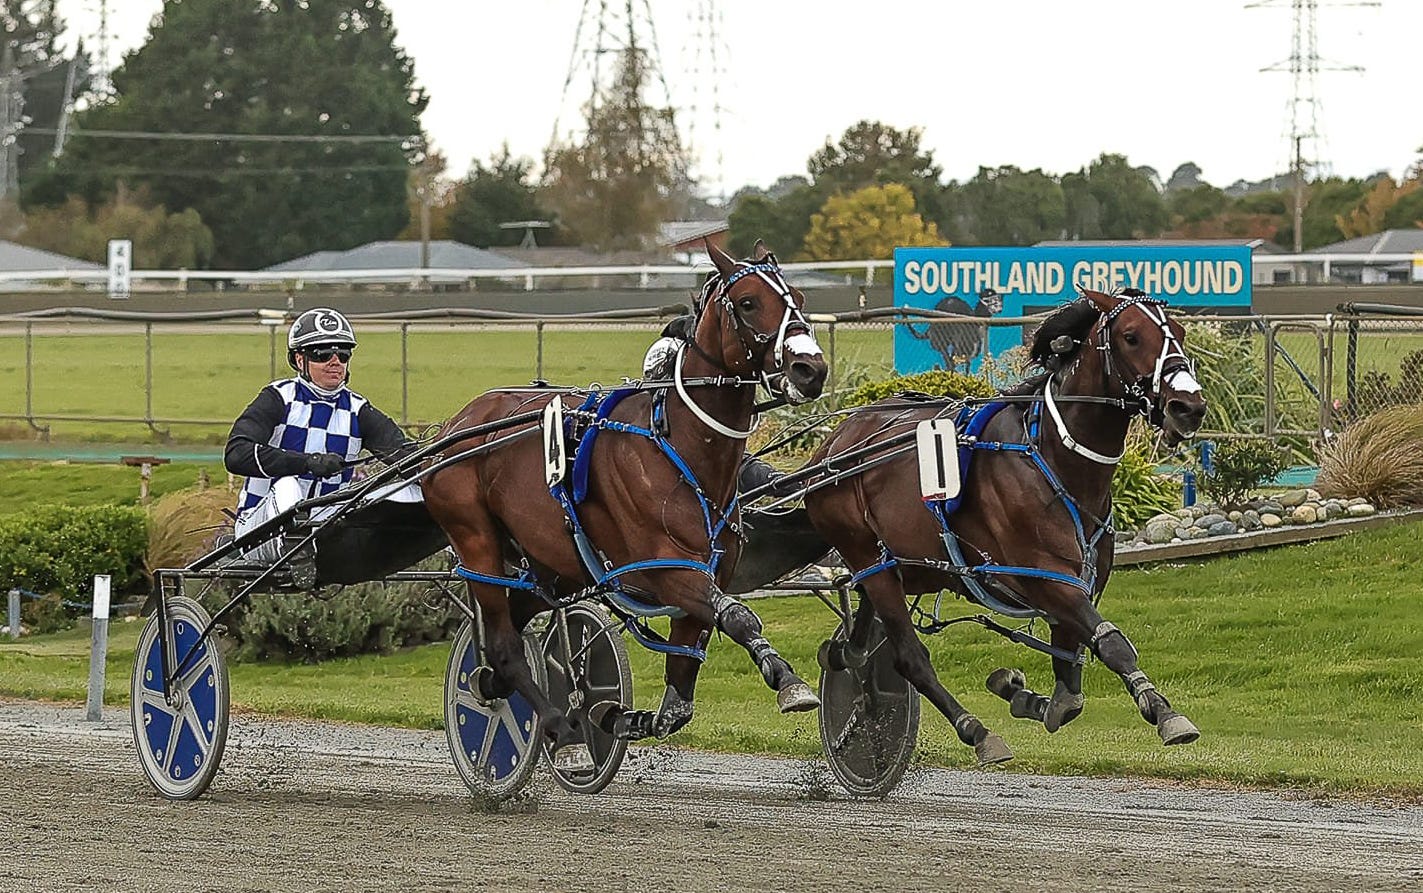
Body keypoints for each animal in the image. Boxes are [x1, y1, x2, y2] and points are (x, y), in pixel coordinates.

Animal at [422, 240, 830, 764]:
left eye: (797, 297)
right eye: (747, 303)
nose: (810, 369)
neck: (679, 444)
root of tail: (456, 424)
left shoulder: (707, 578)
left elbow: (678, 704)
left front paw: (616, 715)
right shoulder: (667, 571)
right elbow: (740, 616)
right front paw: (788, 680)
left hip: (550, 564)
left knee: (505, 641)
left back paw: (496, 687)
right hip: (476, 541)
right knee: (503, 646)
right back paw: (561, 729)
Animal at [801, 287, 1207, 765]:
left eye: (1179, 331)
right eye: (1131, 336)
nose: (1188, 406)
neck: (1053, 457)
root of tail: (831, 444)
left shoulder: (1079, 584)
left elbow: (1070, 693)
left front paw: (1019, 691)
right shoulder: (1047, 579)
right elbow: (1112, 644)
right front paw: (1165, 713)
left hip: (903, 565)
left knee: (858, 647)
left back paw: (842, 657)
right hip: (870, 559)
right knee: (909, 657)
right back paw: (976, 731)